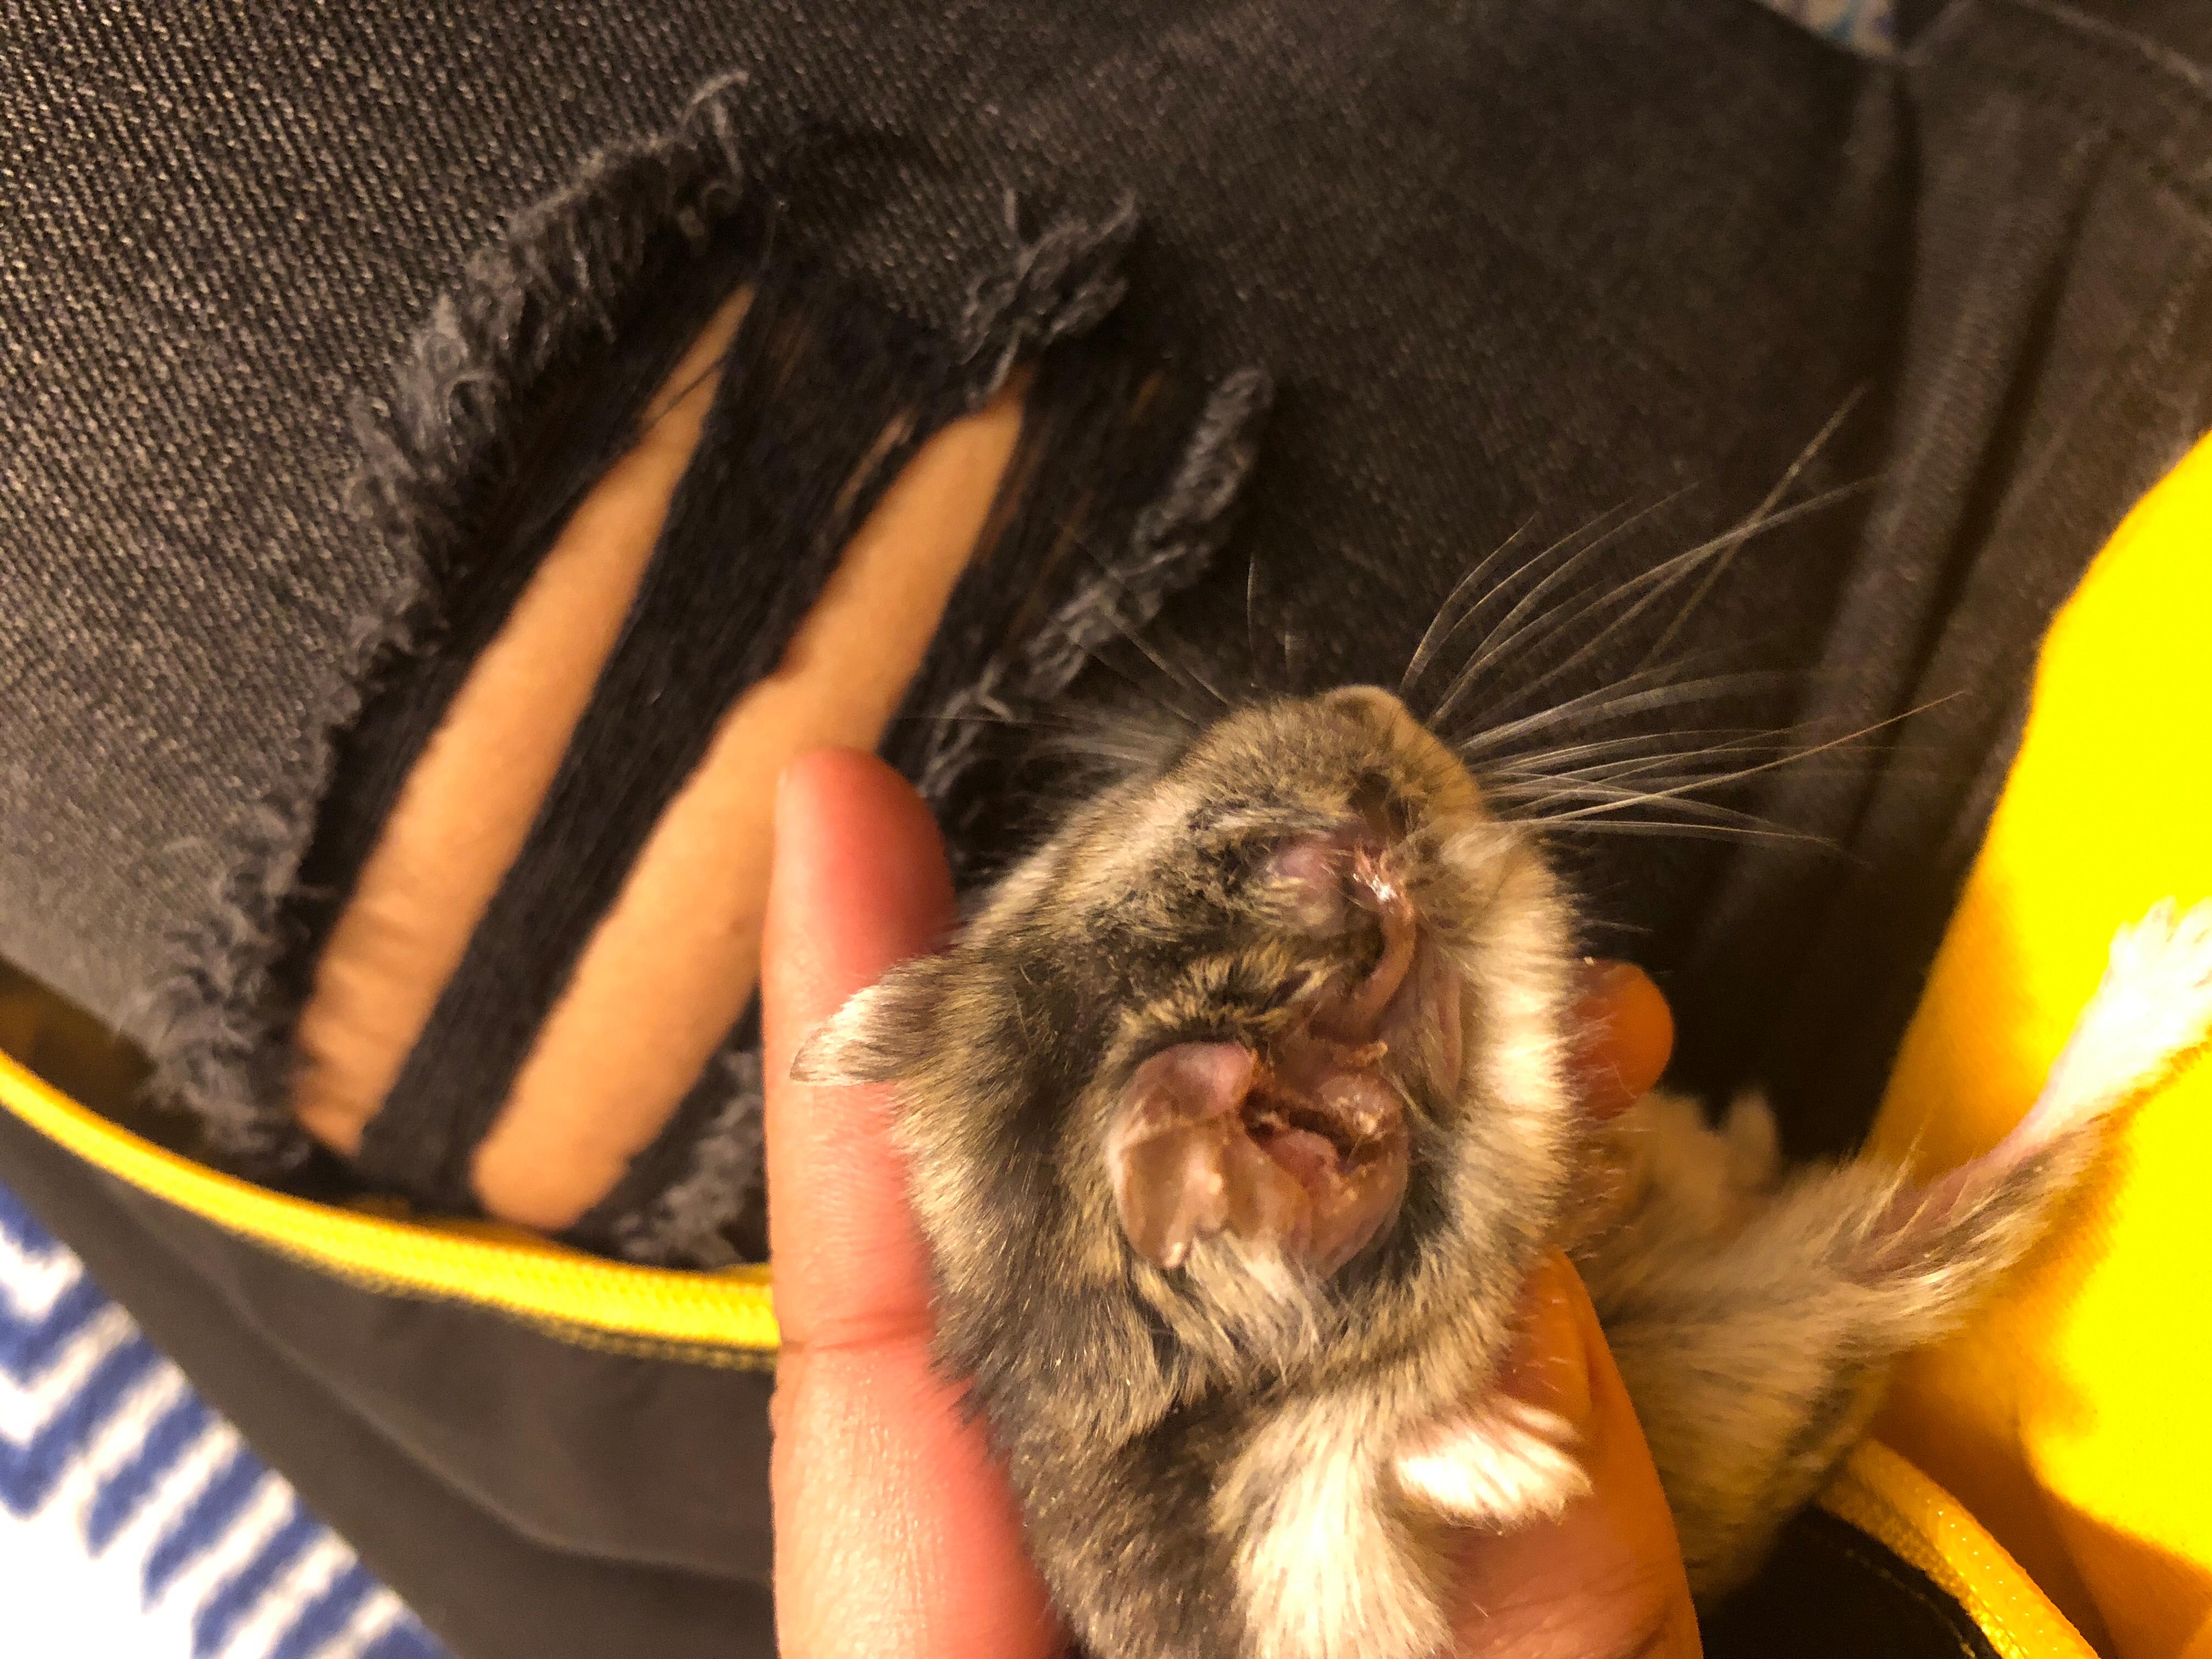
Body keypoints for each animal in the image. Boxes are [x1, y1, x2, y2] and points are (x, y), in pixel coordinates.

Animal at [795, 685, 2212, 1659]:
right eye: (1348, 845)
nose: (1375, 700)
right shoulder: (1285, 1570)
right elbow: (1352, 1472)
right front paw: (1527, 1462)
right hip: (1837, 1289)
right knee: (2000, 1193)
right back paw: (2168, 969)